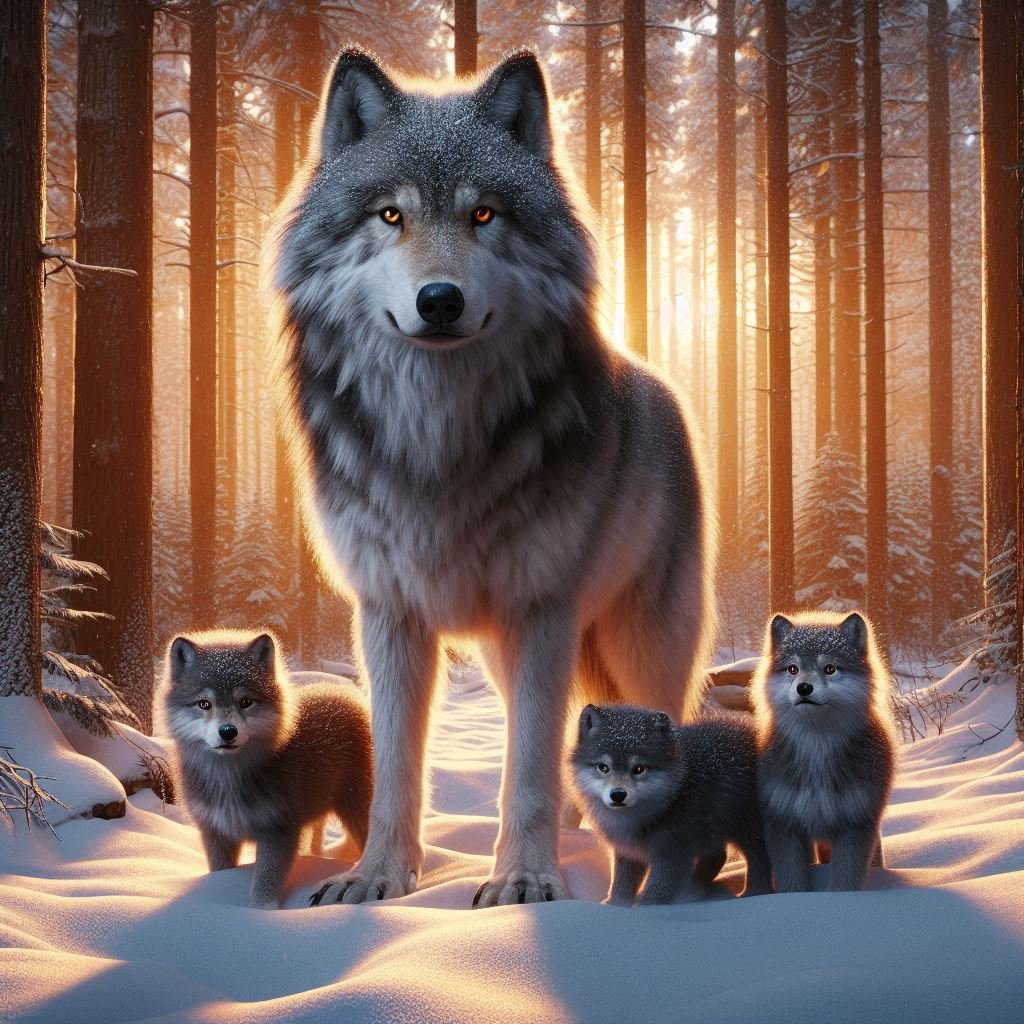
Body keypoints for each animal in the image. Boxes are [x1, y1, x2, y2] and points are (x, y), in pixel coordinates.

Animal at [163, 630, 373, 907]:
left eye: (245, 701)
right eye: (204, 704)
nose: (227, 732)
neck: (228, 783)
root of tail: (345, 694)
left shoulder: (279, 831)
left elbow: (265, 886)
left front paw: (260, 913)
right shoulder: (216, 833)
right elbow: (221, 872)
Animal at [264, 47, 715, 907]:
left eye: (484, 216)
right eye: (391, 216)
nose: (439, 300)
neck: (437, 441)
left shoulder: (541, 610)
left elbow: (529, 770)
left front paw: (525, 879)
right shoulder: (389, 614)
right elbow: (398, 770)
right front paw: (377, 878)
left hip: (636, 642)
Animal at [569, 704, 772, 905]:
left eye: (638, 769)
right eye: (603, 767)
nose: (618, 795)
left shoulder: (673, 854)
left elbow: (656, 894)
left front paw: (645, 909)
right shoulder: (628, 851)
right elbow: (621, 887)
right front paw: (615, 907)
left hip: (748, 832)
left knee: (758, 861)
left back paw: (754, 894)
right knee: (718, 857)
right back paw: (692, 894)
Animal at [752, 611, 897, 893]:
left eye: (830, 668)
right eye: (793, 669)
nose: (804, 688)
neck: (817, 749)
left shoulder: (855, 824)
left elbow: (845, 882)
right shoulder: (784, 823)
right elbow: (792, 883)